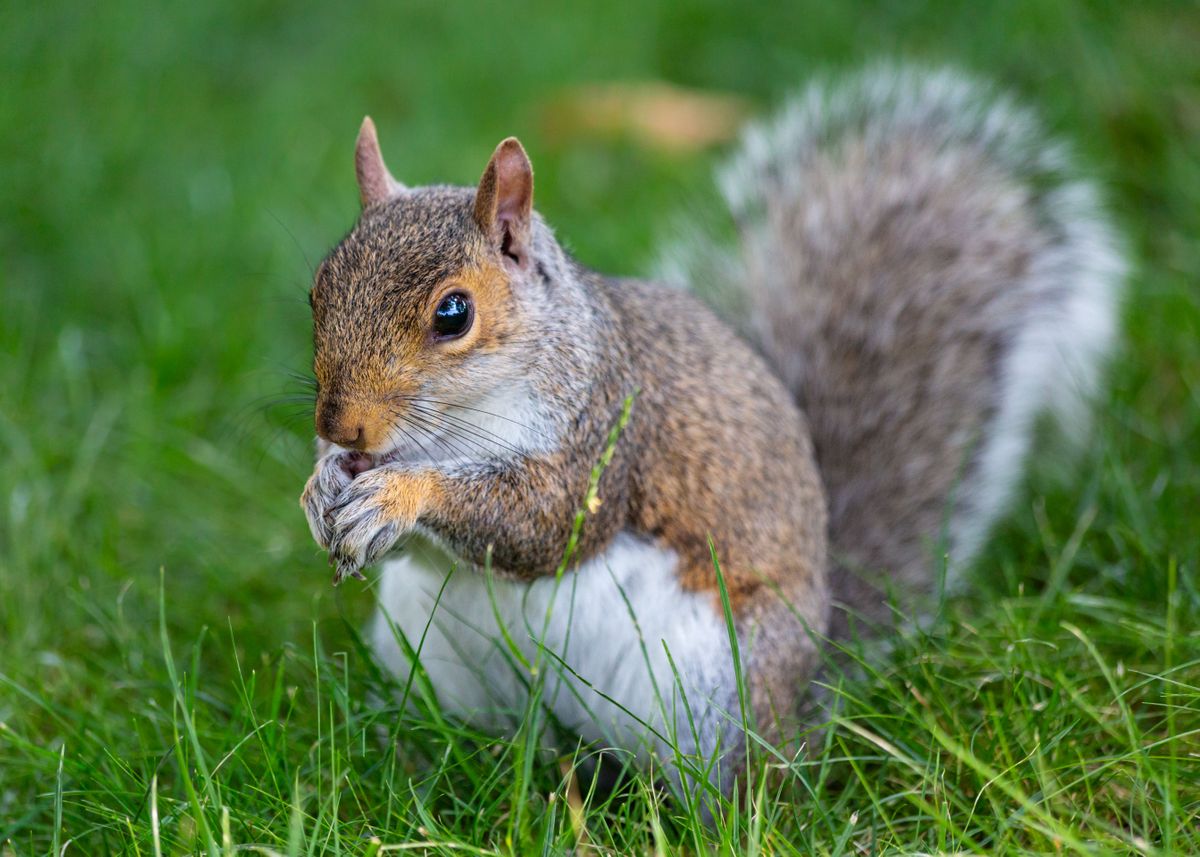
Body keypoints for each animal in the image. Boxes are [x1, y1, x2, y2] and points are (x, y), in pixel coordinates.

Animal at [299, 65, 1123, 800]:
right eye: (317, 289)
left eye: (454, 313)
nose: (340, 422)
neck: (451, 429)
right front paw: (321, 486)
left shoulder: (605, 430)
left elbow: (544, 525)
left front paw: (400, 495)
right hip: (433, 659)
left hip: (714, 690)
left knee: (736, 787)